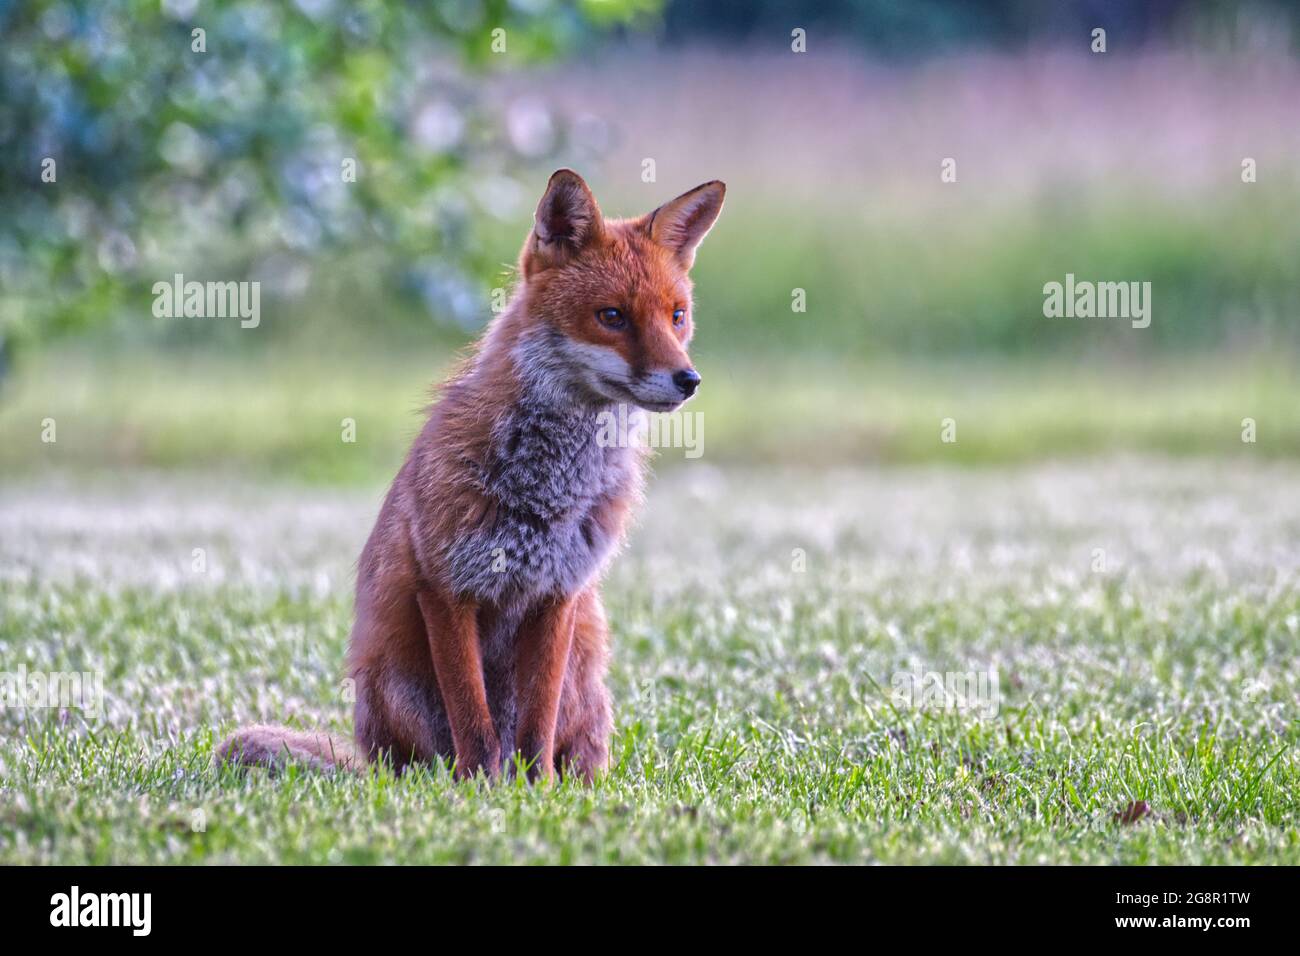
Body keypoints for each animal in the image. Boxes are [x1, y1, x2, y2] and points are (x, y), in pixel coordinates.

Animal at [216, 169, 725, 782]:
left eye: (677, 315)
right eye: (612, 317)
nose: (688, 380)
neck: (548, 487)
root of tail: (372, 762)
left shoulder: (558, 592)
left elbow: (537, 723)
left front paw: (537, 790)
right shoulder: (444, 586)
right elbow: (471, 716)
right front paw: (477, 789)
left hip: (585, 674)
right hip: (394, 683)